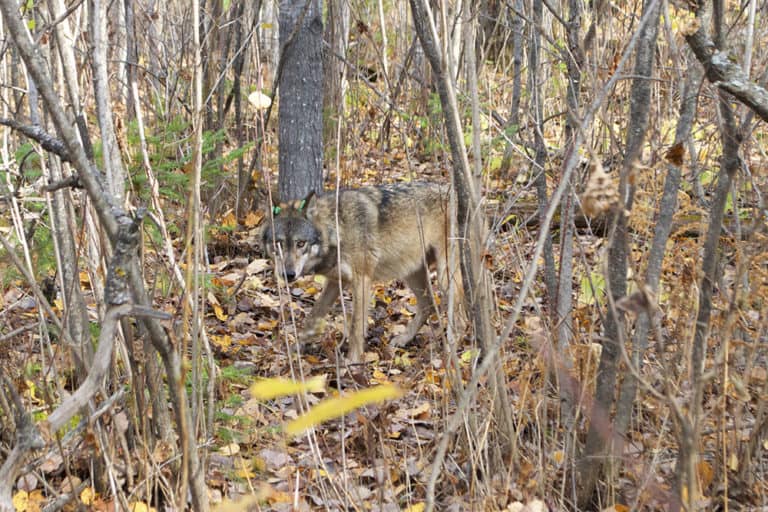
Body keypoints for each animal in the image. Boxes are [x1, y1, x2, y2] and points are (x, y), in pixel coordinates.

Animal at [261, 182, 461, 362]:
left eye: (300, 243)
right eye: (278, 243)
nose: (288, 274)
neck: (337, 229)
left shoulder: (362, 280)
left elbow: (356, 326)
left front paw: (353, 361)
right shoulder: (336, 282)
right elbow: (313, 316)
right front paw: (295, 349)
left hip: (445, 275)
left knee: (460, 318)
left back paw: (452, 354)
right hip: (411, 272)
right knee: (429, 304)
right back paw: (404, 339)